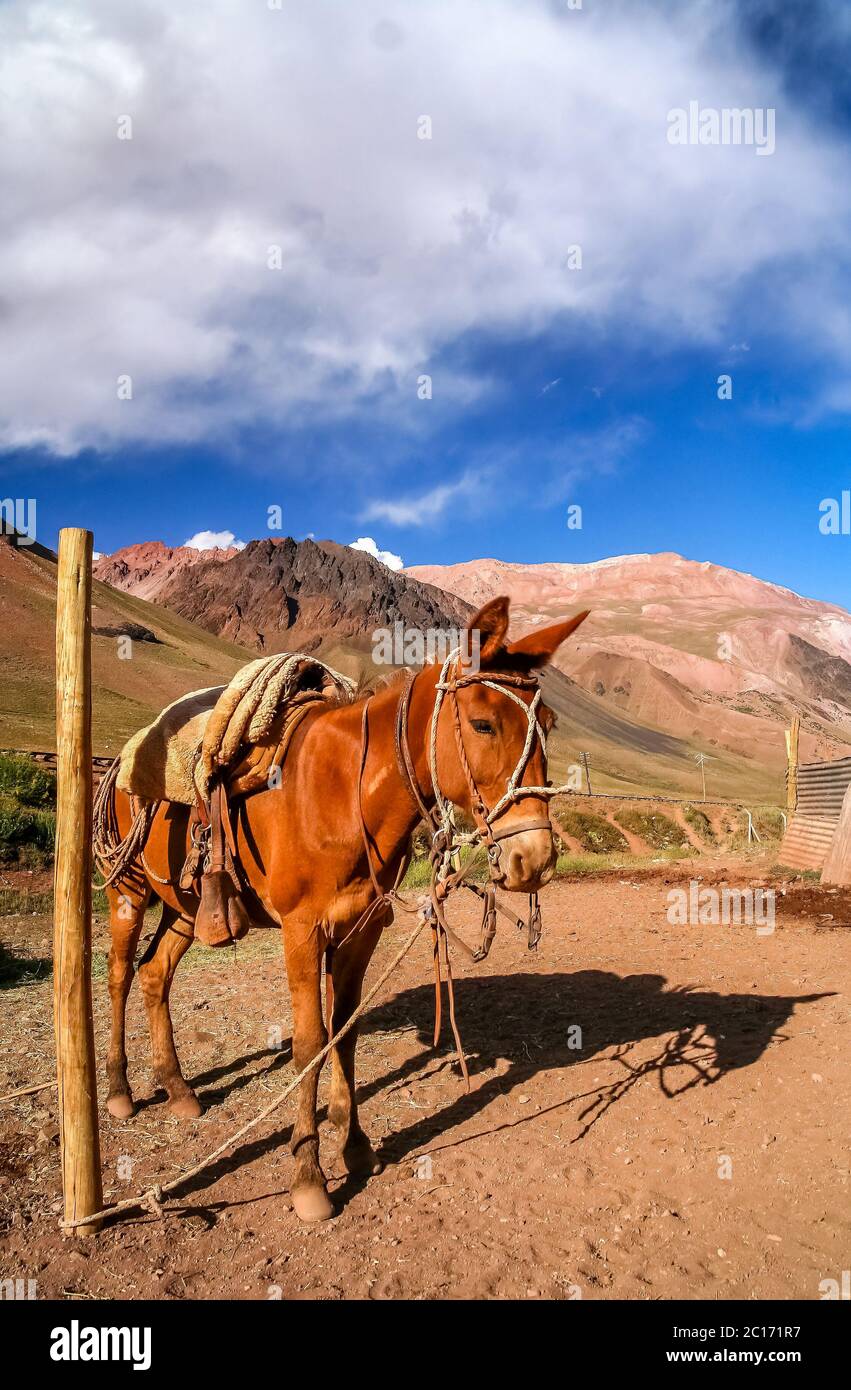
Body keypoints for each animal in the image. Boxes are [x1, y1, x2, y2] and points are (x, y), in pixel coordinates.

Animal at [102, 596, 588, 1222]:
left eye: (547, 725)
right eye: (483, 724)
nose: (535, 858)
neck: (342, 792)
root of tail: (123, 759)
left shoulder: (362, 929)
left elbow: (344, 1033)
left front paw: (354, 1145)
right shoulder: (302, 932)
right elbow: (310, 1042)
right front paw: (308, 1177)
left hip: (185, 908)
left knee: (155, 974)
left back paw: (180, 1090)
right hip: (130, 892)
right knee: (119, 975)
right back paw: (119, 1091)